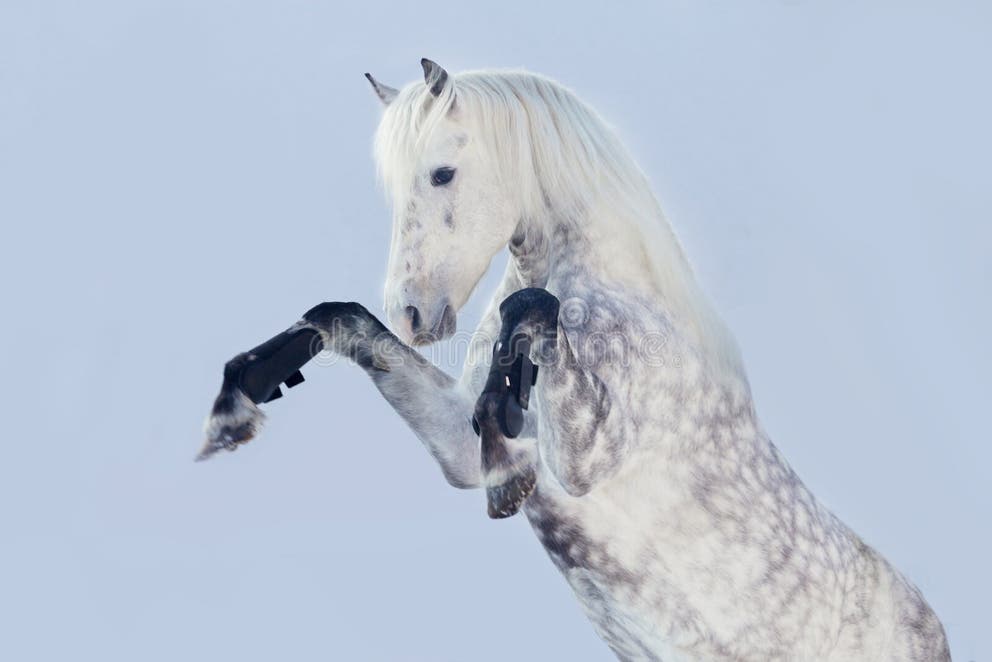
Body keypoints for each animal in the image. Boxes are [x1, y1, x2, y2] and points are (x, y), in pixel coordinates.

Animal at [200, 59, 950, 661]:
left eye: (442, 172)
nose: (412, 312)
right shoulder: (455, 443)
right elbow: (341, 320)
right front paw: (236, 406)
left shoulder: (589, 459)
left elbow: (530, 306)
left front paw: (507, 452)